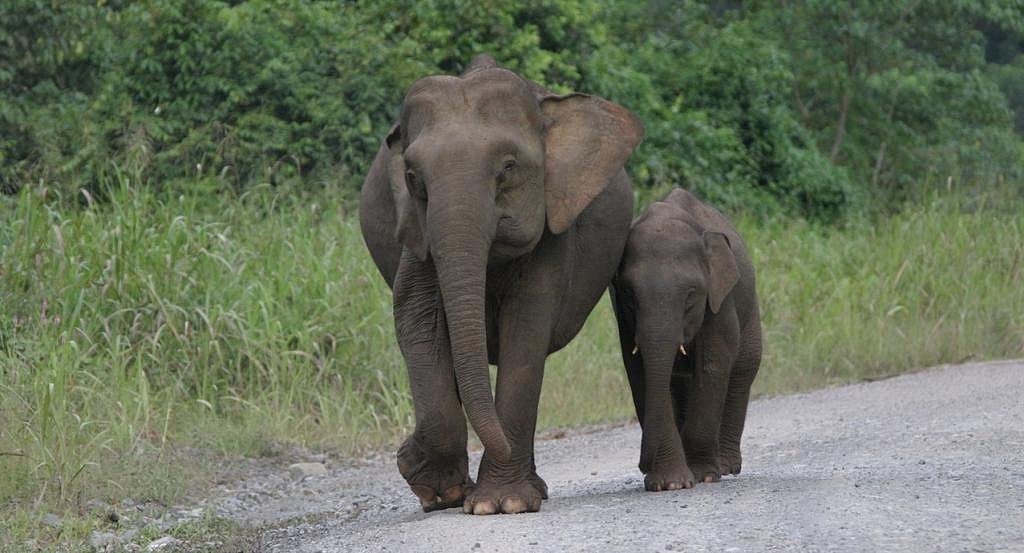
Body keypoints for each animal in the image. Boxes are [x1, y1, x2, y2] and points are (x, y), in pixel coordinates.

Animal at [359, 54, 643, 514]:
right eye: (413, 177)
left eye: (508, 168)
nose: (403, 449)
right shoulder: (416, 233)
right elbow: (417, 319)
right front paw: (436, 489)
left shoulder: (552, 226)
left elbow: (525, 330)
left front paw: (499, 504)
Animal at [609, 188, 761, 491]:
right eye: (629, 294)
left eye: (691, 294)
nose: (642, 465)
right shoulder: (624, 318)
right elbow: (640, 371)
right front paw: (670, 484)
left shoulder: (719, 299)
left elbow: (713, 364)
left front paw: (704, 475)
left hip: (750, 311)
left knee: (742, 371)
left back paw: (725, 466)